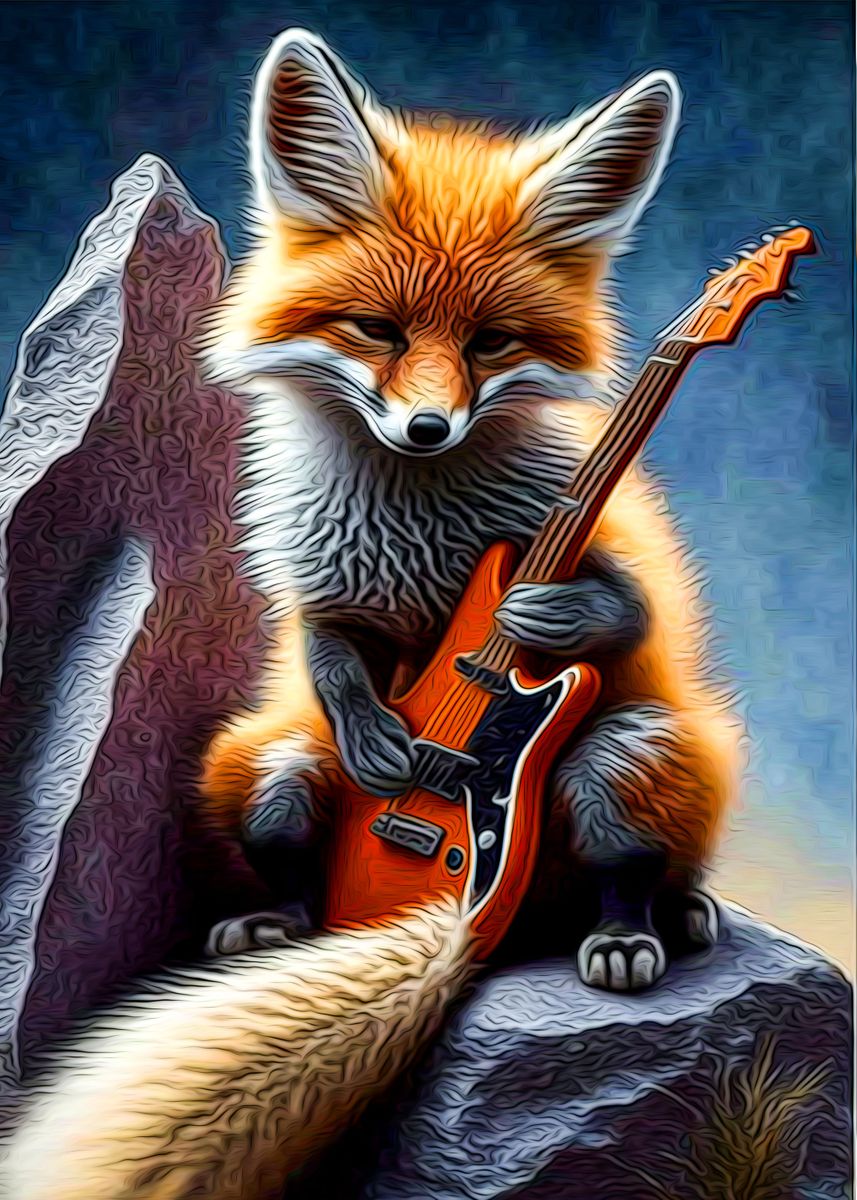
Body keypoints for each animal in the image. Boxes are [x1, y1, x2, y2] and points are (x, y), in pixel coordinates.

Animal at [0, 30, 743, 1200]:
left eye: (491, 343)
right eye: (376, 331)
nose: (427, 427)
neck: (415, 519)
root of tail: (504, 927)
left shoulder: (608, 551)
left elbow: (625, 615)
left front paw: (556, 613)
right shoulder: (322, 585)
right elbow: (331, 653)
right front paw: (380, 738)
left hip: (635, 750)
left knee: (627, 836)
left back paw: (645, 928)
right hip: (263, 761)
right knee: (287, 825)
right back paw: (281, 921)